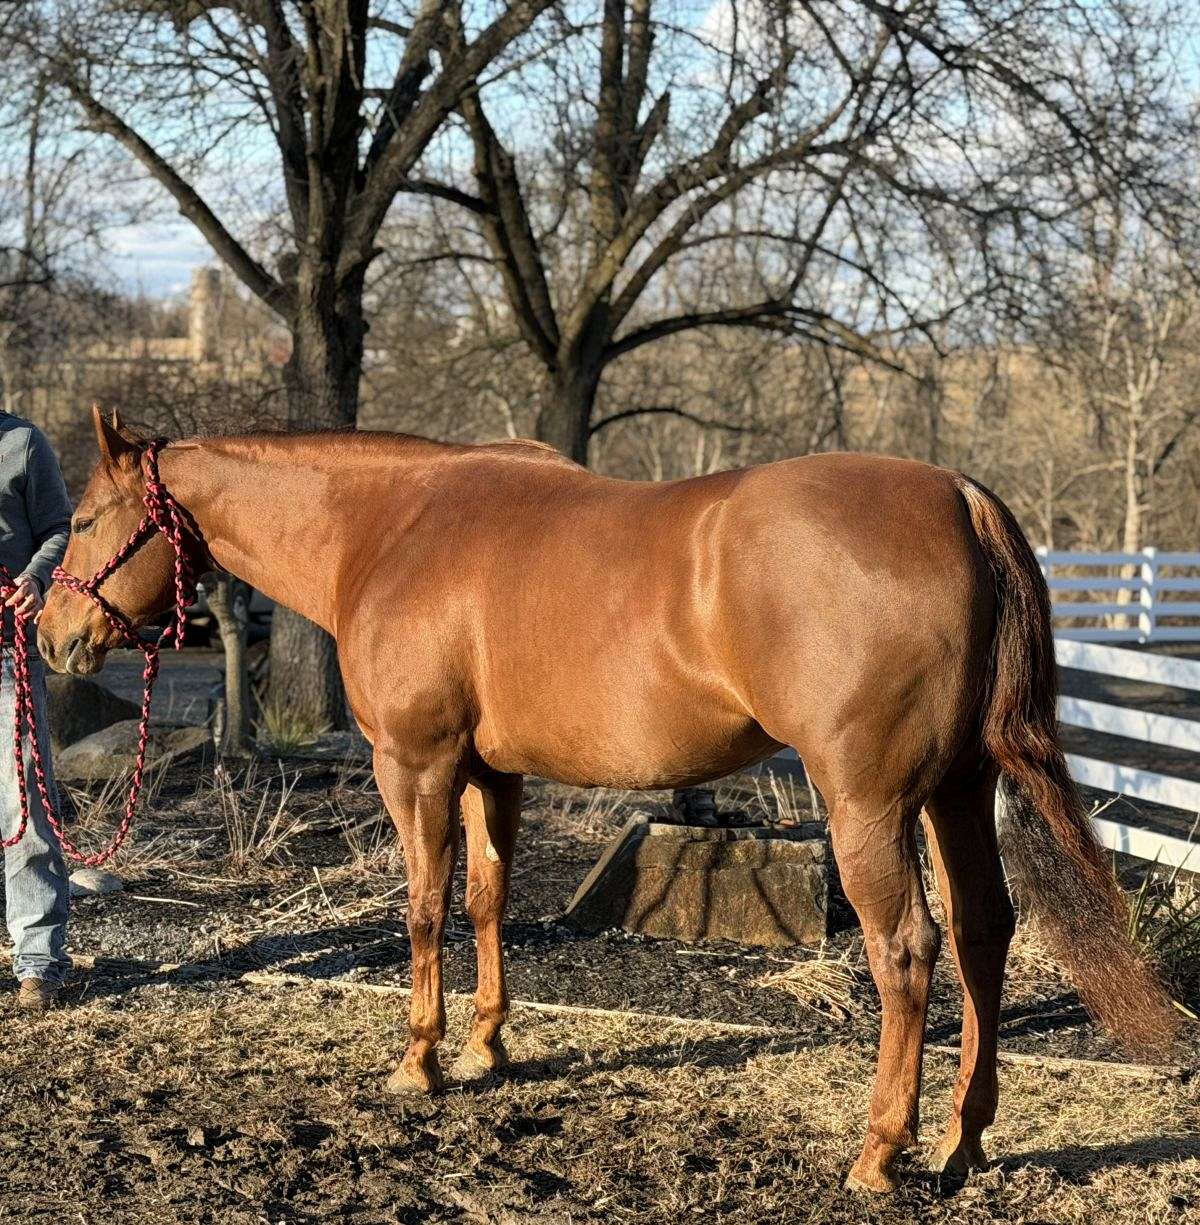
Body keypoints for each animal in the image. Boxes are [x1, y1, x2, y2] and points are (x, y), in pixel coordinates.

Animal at [38, 407, 1177, 1193]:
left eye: (86, 518)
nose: (48, 634)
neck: (392, 527)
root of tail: (956, 496)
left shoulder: (416, 765)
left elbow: (422, 909)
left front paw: (418, 1062)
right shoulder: (492, 772)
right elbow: (488, 900)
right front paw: (487, 1047)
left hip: (869, 804)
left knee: (908, 952)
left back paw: (878, 1151)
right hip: (957, 789)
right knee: (984, 931)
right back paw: (961, 1139)